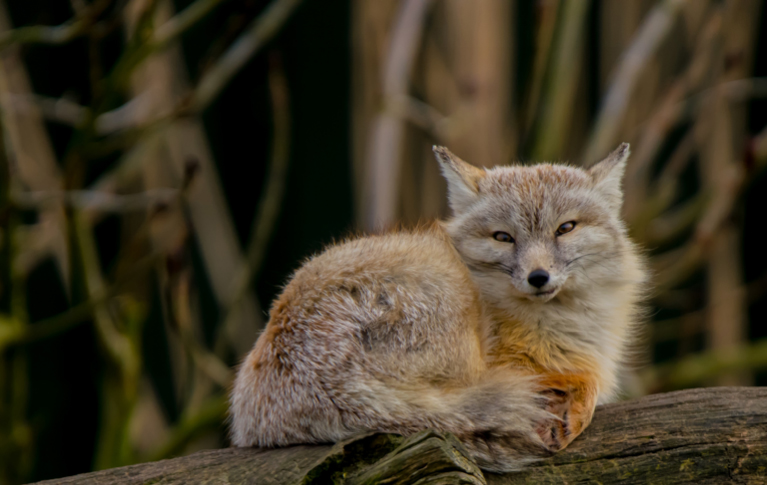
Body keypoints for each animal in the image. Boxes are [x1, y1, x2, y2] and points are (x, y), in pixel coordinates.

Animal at [229, 143, 647, 472]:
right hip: (451, 305)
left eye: (565, 228)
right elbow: (585, 379)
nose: (538, 277)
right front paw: (575, 401)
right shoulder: (504, 364)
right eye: (503, 237)